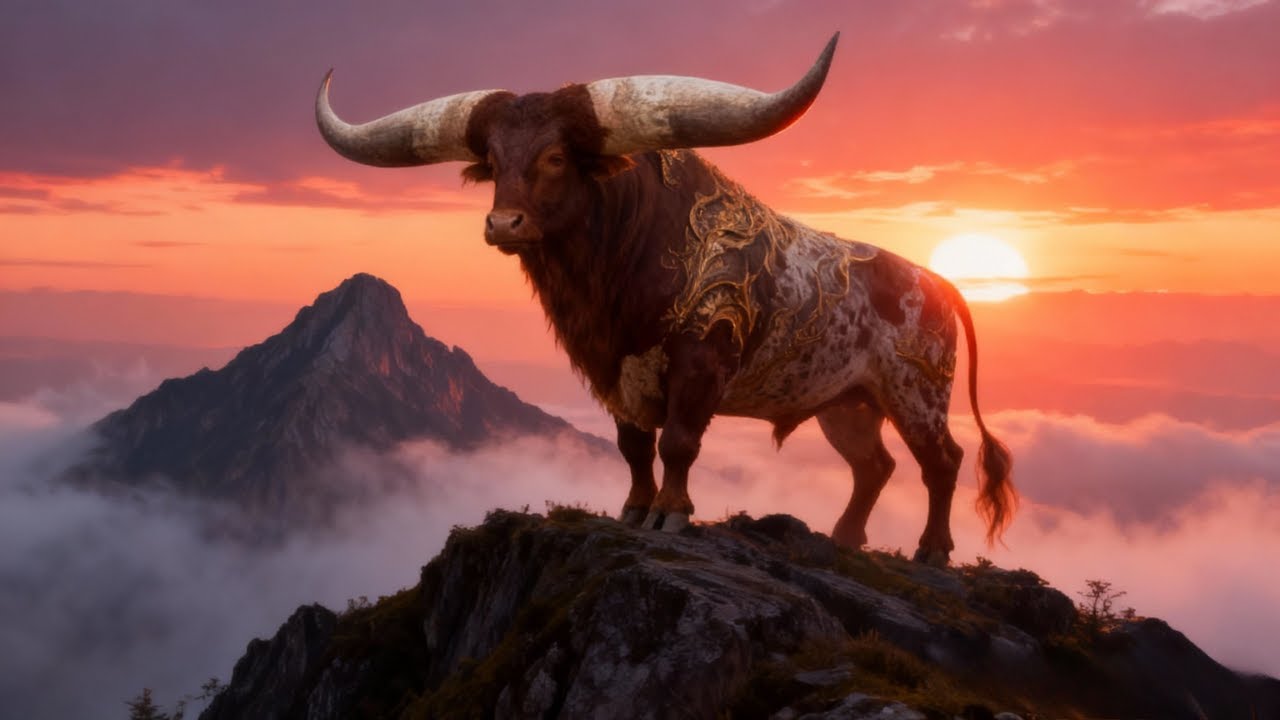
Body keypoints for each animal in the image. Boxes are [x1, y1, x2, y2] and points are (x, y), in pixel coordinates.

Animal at [315, 33, 1015, 564]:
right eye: (492, 158)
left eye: (556, 156)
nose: (503, 224)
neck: (622, 260)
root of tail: (937, 282)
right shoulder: (610, 370)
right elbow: (633, 447)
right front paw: (634, 508)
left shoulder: (700, 361)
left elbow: (678, 441)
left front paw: (673, 514)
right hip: (846, 404)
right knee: (874, 467)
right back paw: (844, 538)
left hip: (915, 392)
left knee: (942, 462)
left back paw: (931, 550)